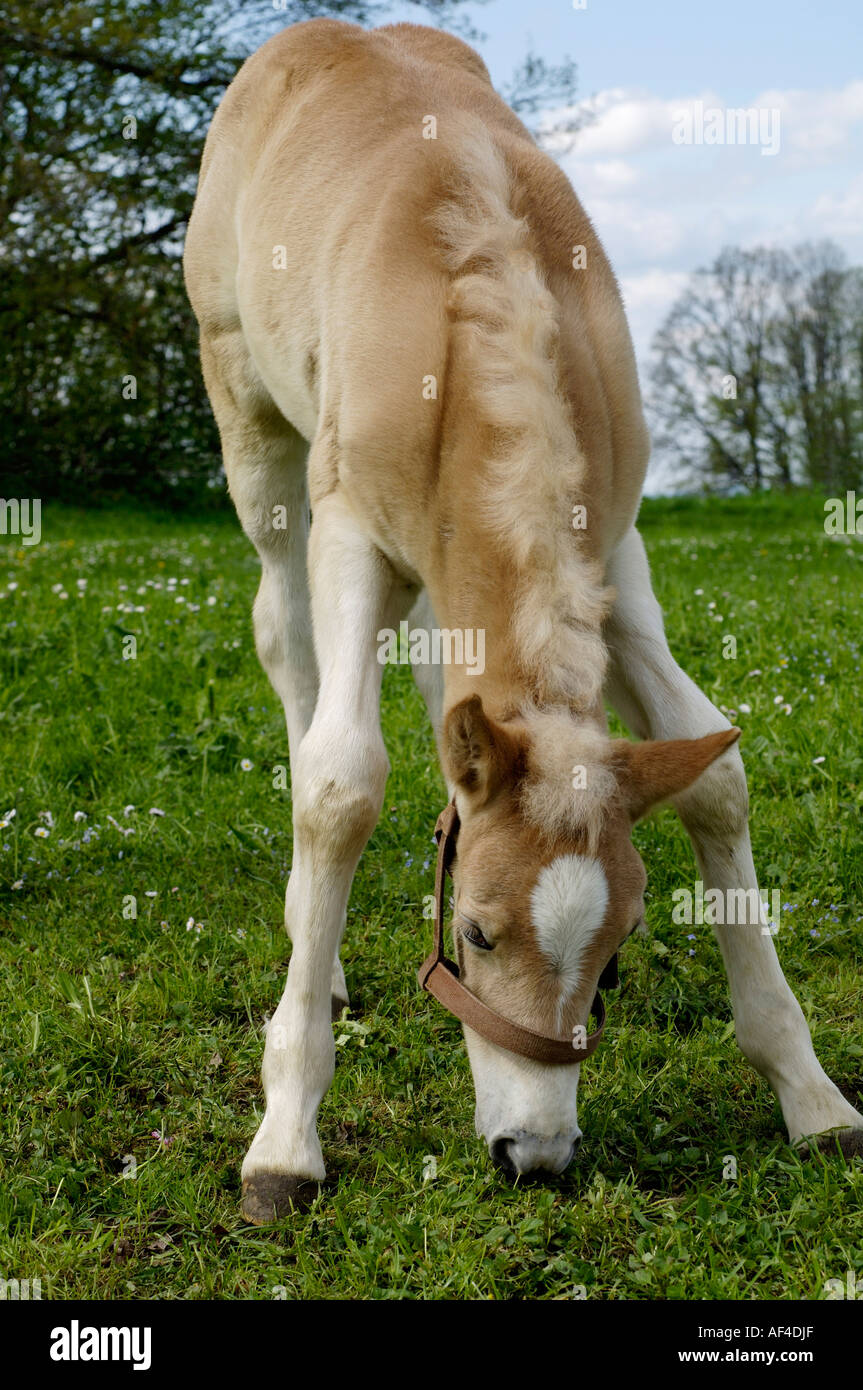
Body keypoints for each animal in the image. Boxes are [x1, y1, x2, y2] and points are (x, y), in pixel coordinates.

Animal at [183, 18, 863, 1223]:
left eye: (618, 941)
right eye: (476, 933)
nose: (533, 1155)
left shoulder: (614, 551)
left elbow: (714, 771)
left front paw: (808, 1091)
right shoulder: (349, 528)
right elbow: (338, 785)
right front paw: (283, 1142)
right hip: (253, 428)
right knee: (287, 643)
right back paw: (320, 942)